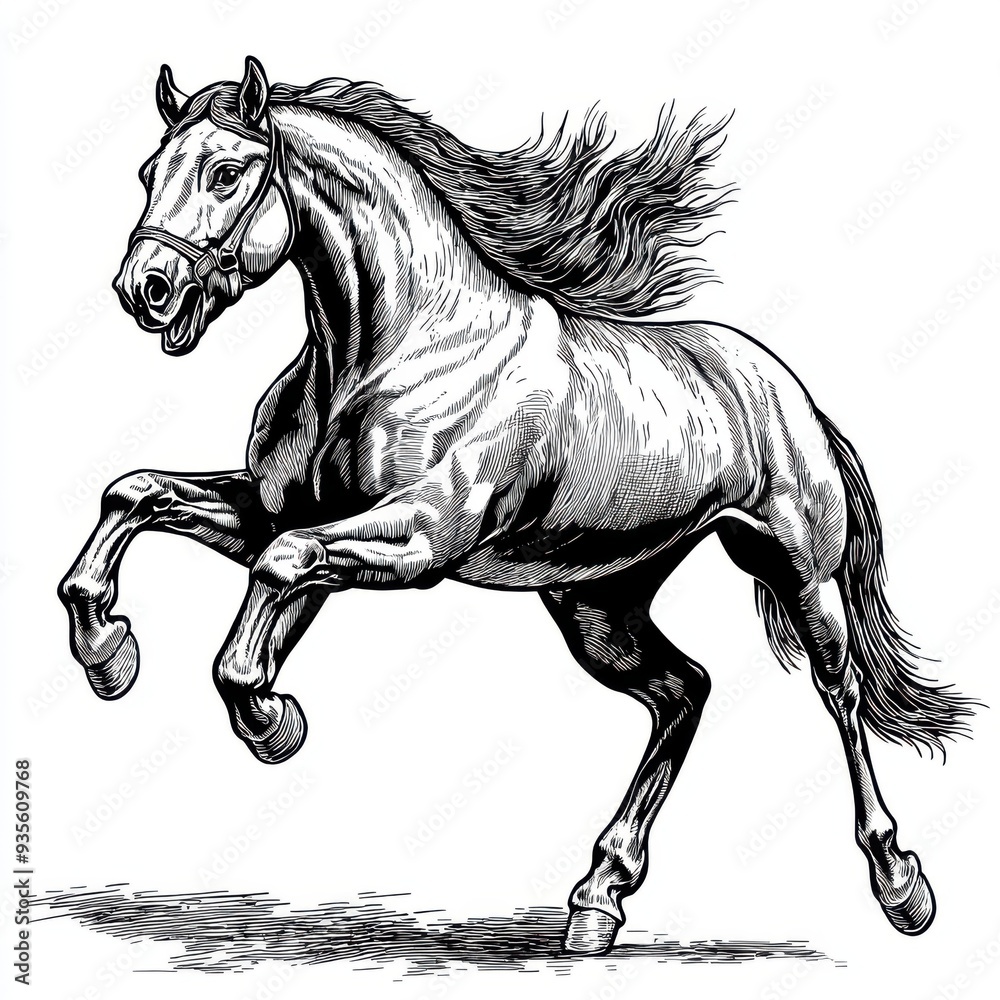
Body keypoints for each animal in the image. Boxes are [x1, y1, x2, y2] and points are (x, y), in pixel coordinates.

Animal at [59, 56, 975, 956]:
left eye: (225, 171)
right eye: (148, 172)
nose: (145, 289)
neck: (394, 349)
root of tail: (791, 393)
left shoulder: (421, 540)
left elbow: (265, 604)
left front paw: (271, 724)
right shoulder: (283, 514)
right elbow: (139, 494)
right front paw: (109, 653)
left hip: (798, 576)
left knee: (838, 695)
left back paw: (900, 885)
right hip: (598, 604)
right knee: (684, 690)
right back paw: (598, 900)